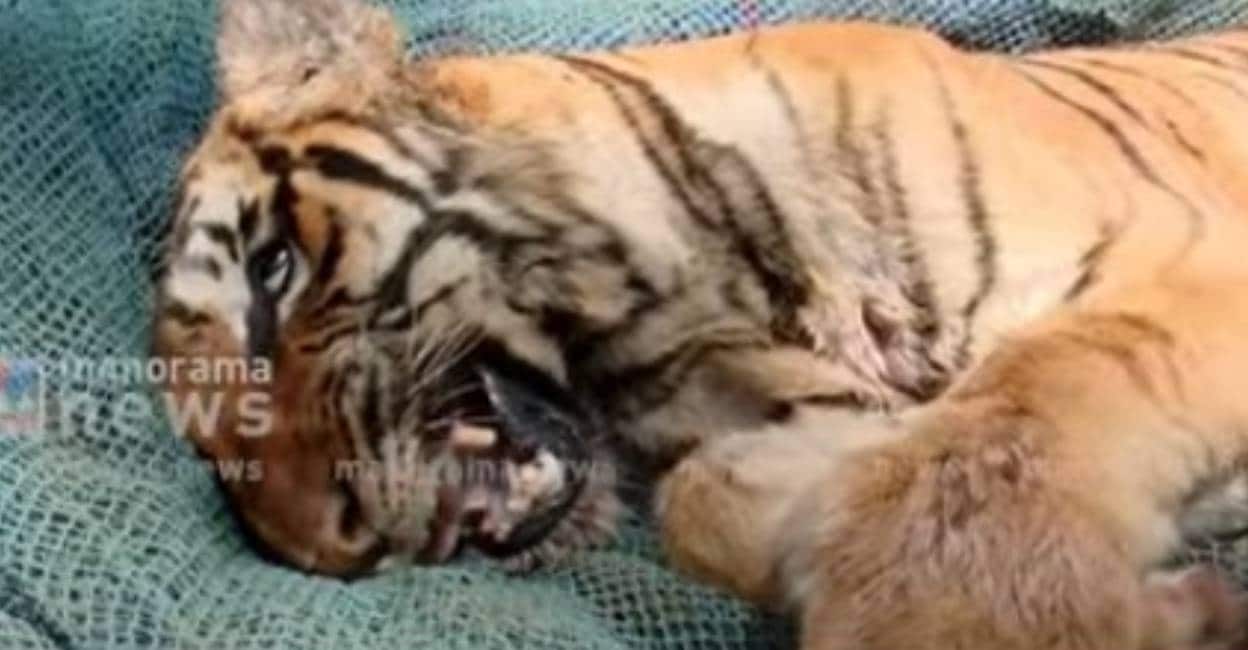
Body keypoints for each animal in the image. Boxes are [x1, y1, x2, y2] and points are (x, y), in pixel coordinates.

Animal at [151, 0, 1248, 645]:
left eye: (273, 267)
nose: (323, 547)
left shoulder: (1187, 270)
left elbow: (1015, 415)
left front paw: (957, 609)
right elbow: (711, 499)